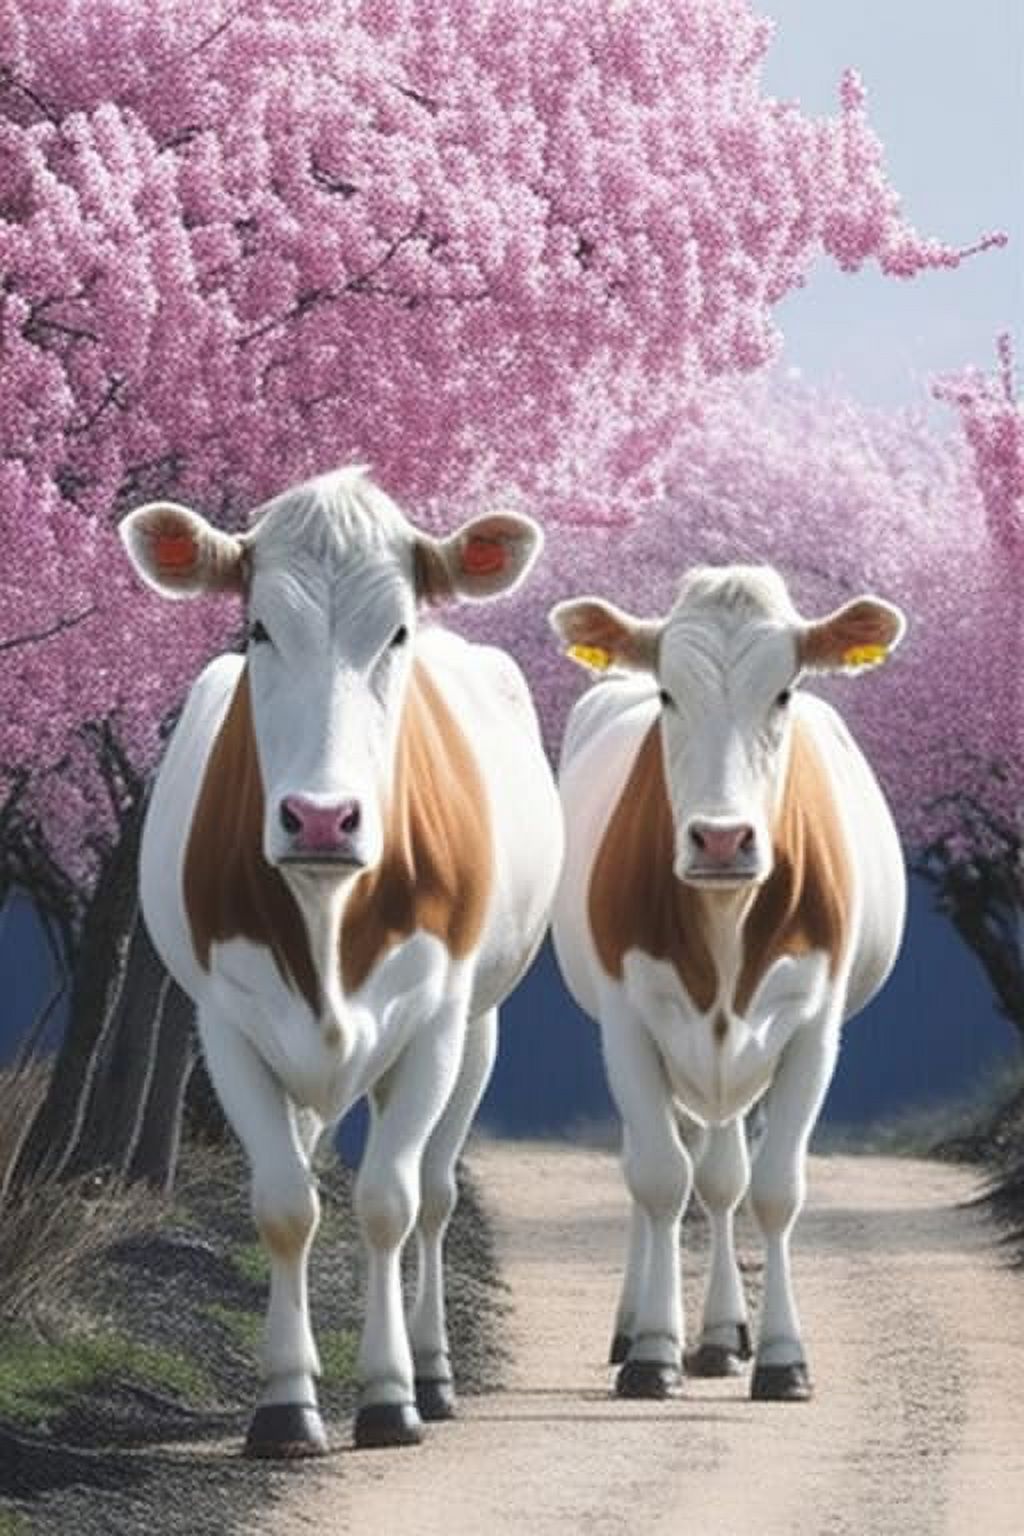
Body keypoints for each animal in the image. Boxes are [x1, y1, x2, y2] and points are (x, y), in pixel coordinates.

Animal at [119, 467, 563, 1457]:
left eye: (397, 631)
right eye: (257, 629)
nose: (322, 818)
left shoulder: (435, 1017)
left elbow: (390, 1201)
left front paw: (390, 1395)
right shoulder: (229, 1022)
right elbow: (286, 1205)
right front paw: (287, 1401)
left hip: (481, 1024)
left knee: (433, 1194)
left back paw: (433, 1372)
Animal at [548, 565, 907, 1402]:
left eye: (783, 692)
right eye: (667, 694)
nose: (720, 838)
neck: (723, 912)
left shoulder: (813, 1024)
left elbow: (772, 1187)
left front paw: (780, 1356)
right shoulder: (628, 1019)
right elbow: (656, 1178)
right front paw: (652, 1350)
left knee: (722, 1176)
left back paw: (721, 1336)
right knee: (665, 1172)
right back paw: (640, 1327)